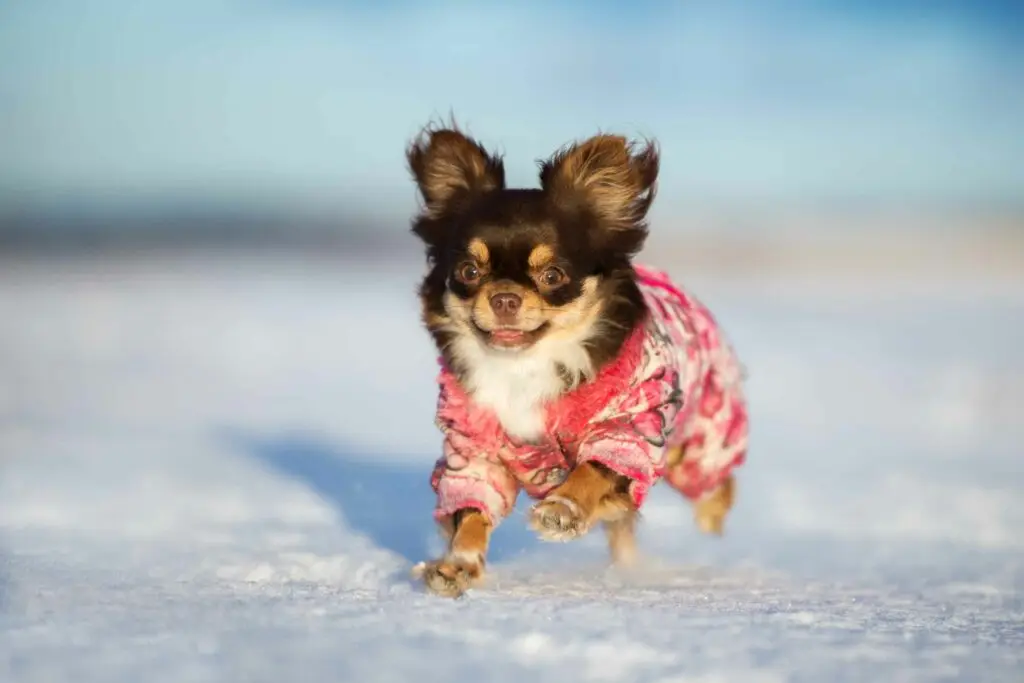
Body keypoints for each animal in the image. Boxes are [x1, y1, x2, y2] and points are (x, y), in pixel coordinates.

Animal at [407, 122, 753, 598]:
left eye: (553, 276)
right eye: (468, 272)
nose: (504, 297)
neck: (523, 367)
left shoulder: (630, 430)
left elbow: (593, 469)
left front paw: (564, 508)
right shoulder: (472, 453)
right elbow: (472, 511)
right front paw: (458, 563)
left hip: (703, 441)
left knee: (718, 485)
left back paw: (710, 526)